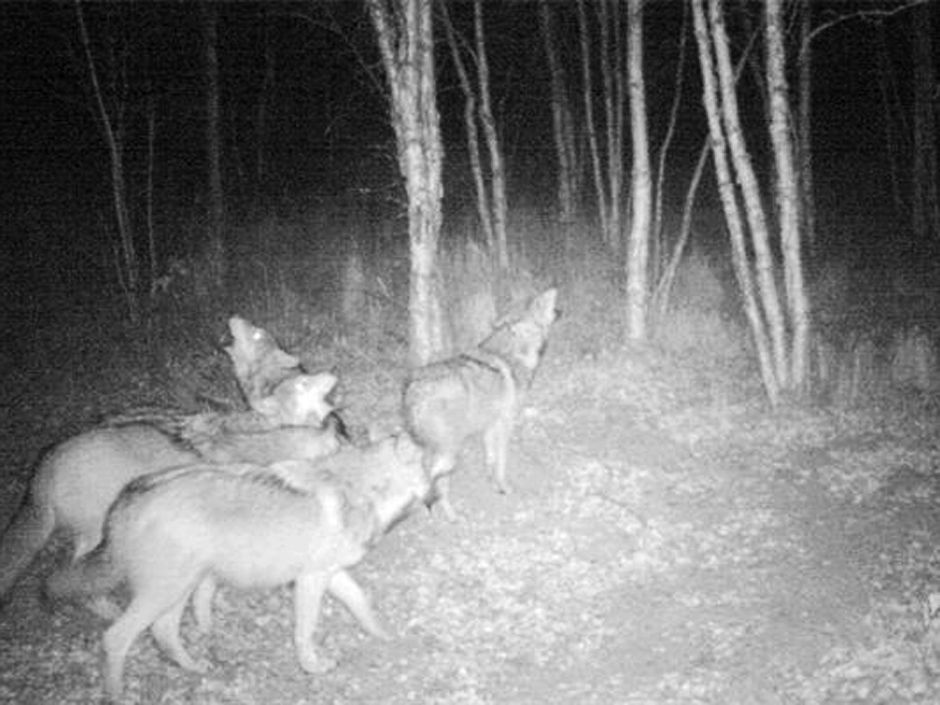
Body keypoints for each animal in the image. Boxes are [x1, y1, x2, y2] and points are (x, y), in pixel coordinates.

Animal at [45, 434, 431, 702]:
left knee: (163, 632)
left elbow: (361, 602)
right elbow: (305, 631)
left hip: (180, 589)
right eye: (429, 469)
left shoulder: (329, 574)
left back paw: (194, 667)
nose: (437, 490)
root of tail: (128, 498)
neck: (360, 486)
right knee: (116, 638)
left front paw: (384, 635)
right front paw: (313, 667)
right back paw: (117, 695)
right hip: (165, 592)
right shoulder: (311, 579)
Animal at [403, 287, 558, 519]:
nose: (561, 311)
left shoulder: (490, 425)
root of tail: (414, 390)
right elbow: (501, 463)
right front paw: (503, 487)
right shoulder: (504, 424)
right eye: (551, 307)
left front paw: (491, 482)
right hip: (450, 450)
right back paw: (451, 514)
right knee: (439, 483)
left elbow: (490, 459)